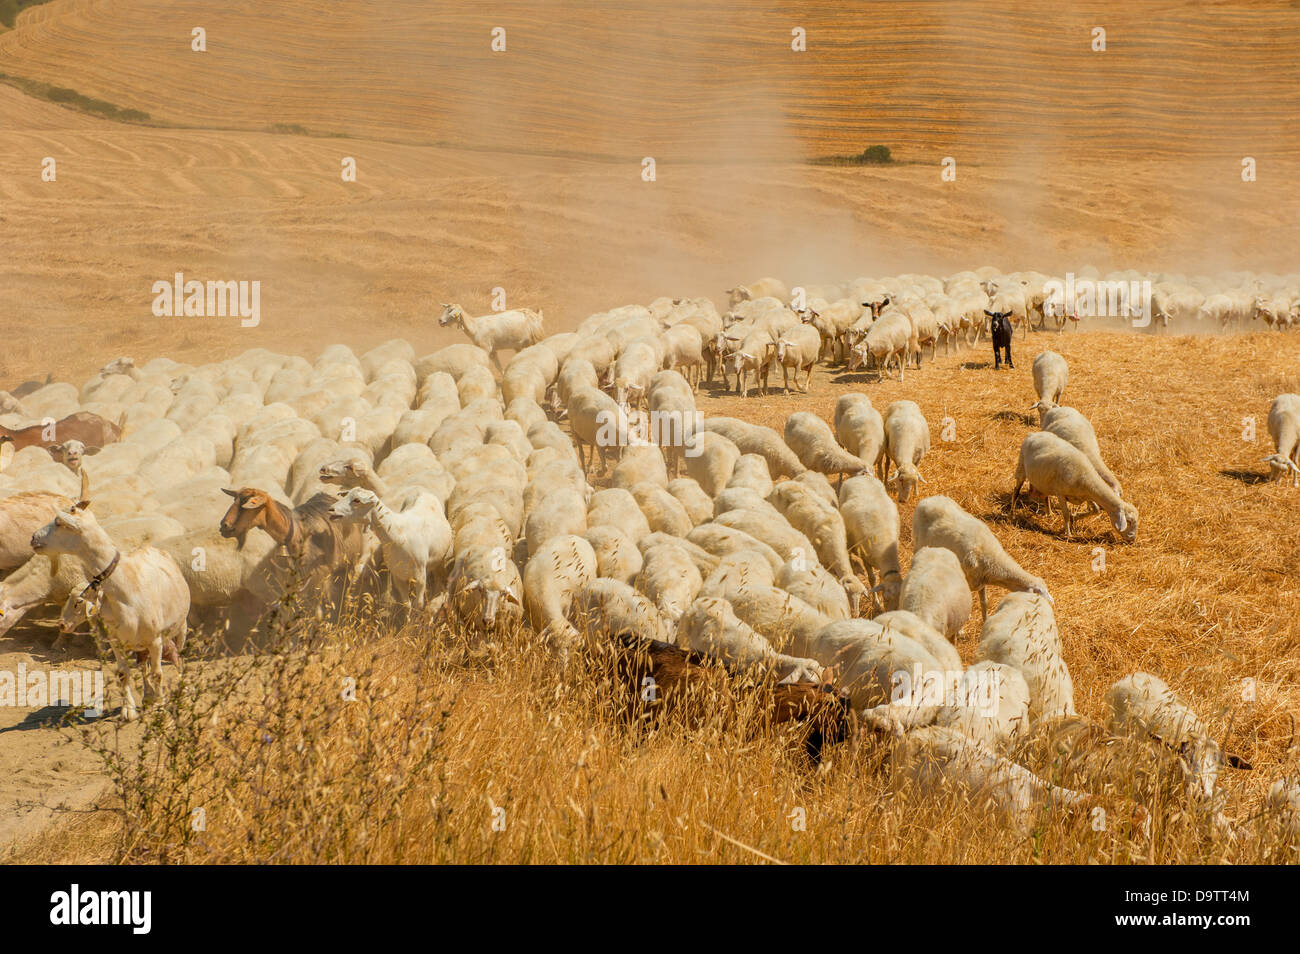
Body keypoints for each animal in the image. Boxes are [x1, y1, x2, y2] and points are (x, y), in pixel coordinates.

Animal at [31, 503, 189, 721]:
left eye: (58, 522)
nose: (33, 537)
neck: (123, 586)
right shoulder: (117, 640)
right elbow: (124, 673)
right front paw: (128, 710)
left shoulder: (155, 640)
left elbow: (158, 674)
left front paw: (160, 706)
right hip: (139, 643)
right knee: (143, 665)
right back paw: (148, 696)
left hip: (181, 627)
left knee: (179, 658)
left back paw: (180, 689)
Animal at [838, 474, 902, 612]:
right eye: (887, 599)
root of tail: (860, 476)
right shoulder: (865, 557)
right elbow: (872, 579)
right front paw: (876, 604)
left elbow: (881, 579)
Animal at [912, 495, 1050, 619]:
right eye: (1039, 594)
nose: (1051, 606)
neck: (993, 560)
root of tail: (927, 499)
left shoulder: (981, 580)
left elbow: (984, 603)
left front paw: (985, 620)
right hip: (918, 544)